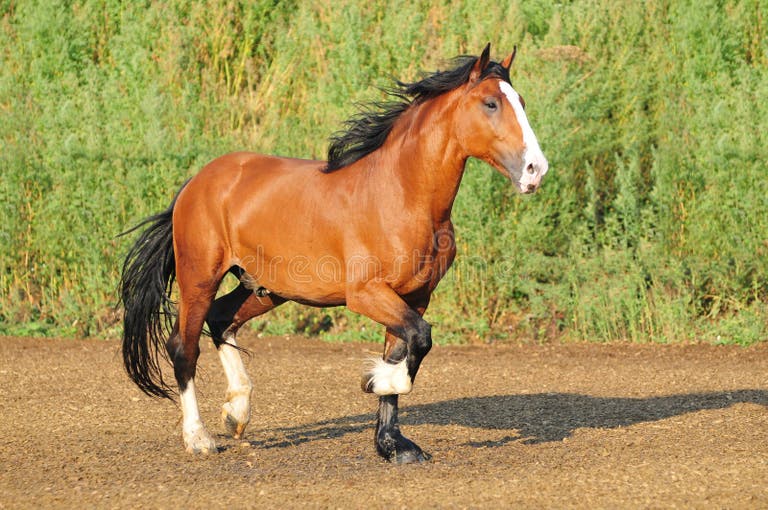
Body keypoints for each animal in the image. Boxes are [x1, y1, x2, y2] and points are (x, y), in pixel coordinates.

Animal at [119, 43, 548, 464]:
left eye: (522, 101)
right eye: (490, 104)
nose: (535, 170)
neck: (403, 194)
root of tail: (196, 181)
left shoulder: (414, 297)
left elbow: (405, 348)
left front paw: (393, 444)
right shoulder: (367, 294)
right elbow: (420, 340)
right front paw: (373, 380)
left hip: (266, 288)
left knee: (222, 319)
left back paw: (236, 414)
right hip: (199, 278)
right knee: (183, 347)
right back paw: (199, 438)